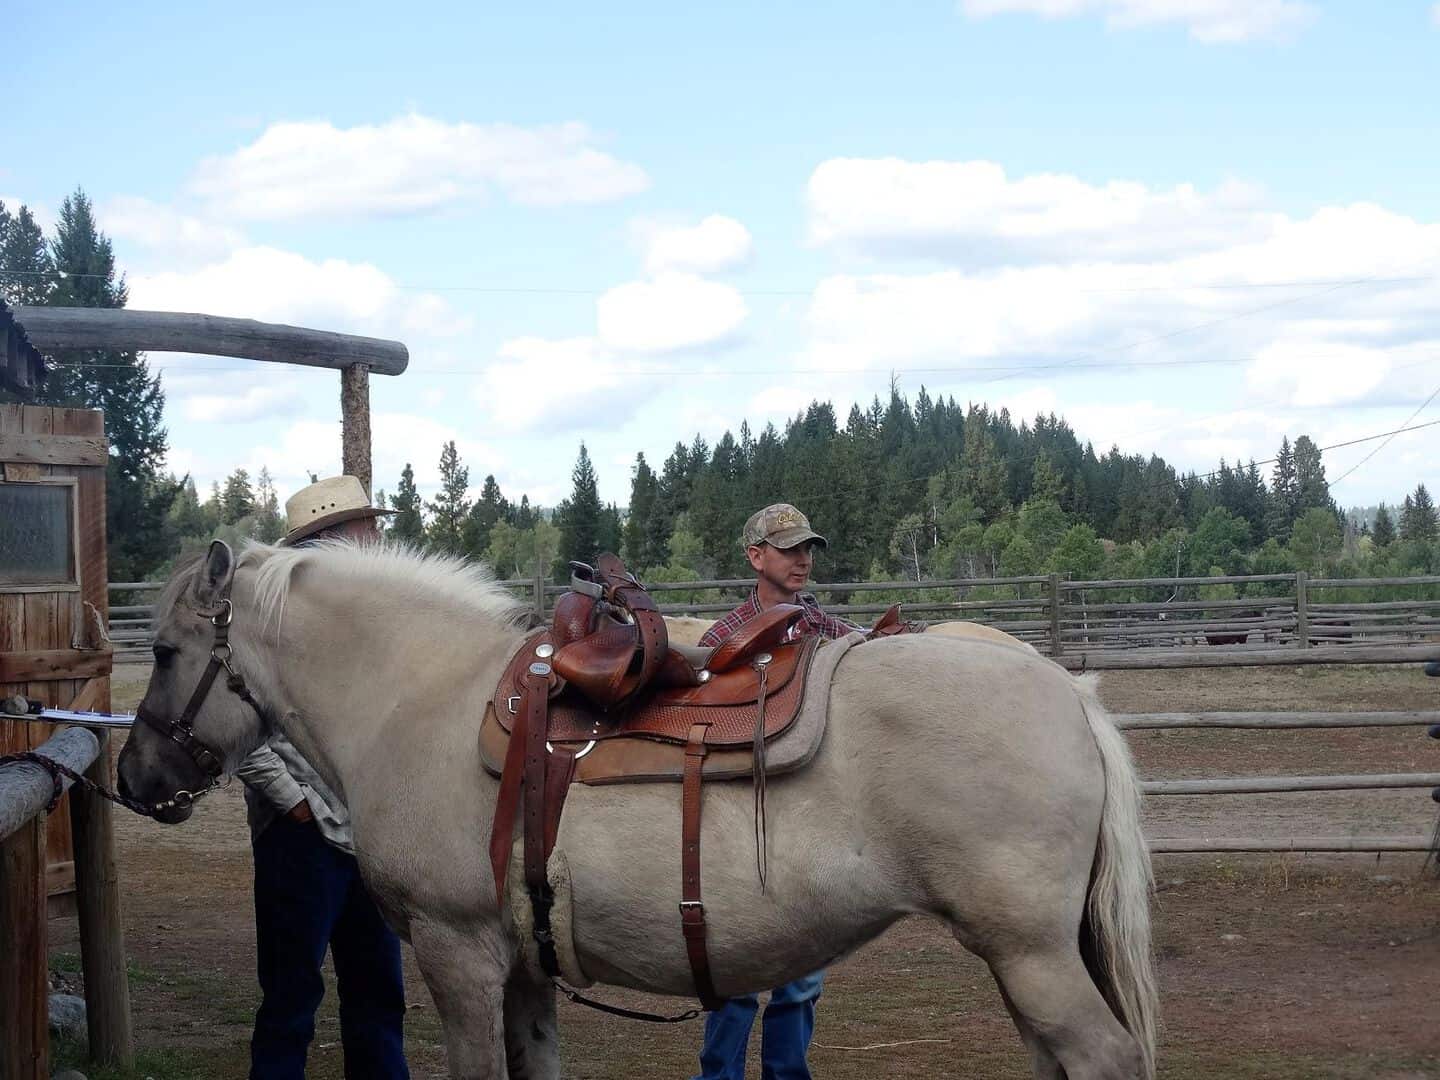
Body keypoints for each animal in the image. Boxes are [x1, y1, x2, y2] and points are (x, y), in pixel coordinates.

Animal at [117, 540, 1158, 1079]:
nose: (133, 776)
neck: (417, 698)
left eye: (164, 651)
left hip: (1029, 954)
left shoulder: (457, 954)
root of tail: (1067, 691)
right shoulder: (523, 969)